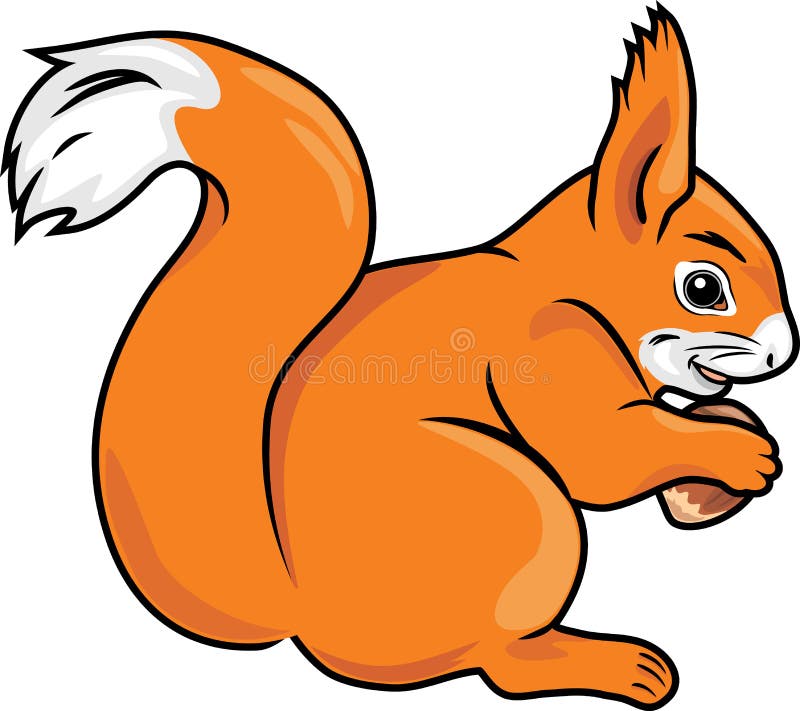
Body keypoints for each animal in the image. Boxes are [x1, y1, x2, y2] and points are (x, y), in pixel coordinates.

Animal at [4, 5, 797, 709]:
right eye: (703, 288)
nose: (785, 351)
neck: (566, 278)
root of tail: (303, 614)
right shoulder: (548, 344)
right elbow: (598, 456)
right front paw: (739, 456)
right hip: (517, 512)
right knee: (499, 664)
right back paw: (616, 666)